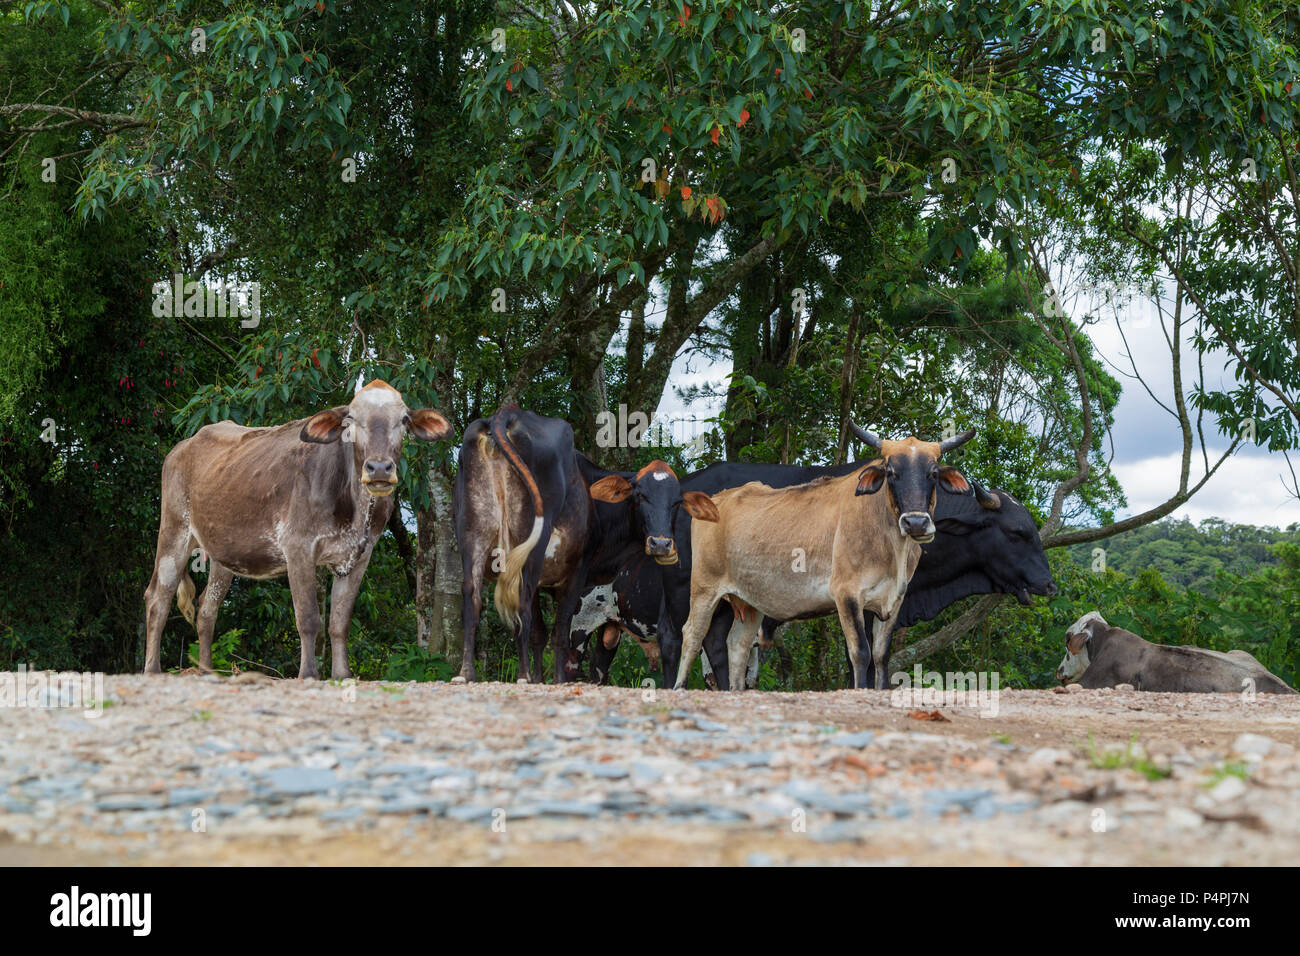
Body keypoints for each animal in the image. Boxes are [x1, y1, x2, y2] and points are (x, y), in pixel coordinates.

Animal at [143, 379, 452, 678]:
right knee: (158, 597)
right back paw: (152, 669)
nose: (378, 468)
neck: (355, 508)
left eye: (403, 420)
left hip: (223, 549)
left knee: (207, 608)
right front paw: (309, 673)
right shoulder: (298, 547)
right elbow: (309, 617)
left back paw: (207, 672)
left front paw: (342, 675)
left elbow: (339, 621)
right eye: (350, 420)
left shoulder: (360, 554)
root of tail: (184, 444)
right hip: (174, 531)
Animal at [675, 429, 977, 690]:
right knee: (692, 634)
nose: (915, 522)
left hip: (749, 600)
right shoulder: (846, 594)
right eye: (891, 472)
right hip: (704, 588)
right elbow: (860, 653)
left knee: (738, 644)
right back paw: (678, 687)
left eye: (933, 473)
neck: (892, 546)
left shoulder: (895, 599)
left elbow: (881, 656)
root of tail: (715, 500)